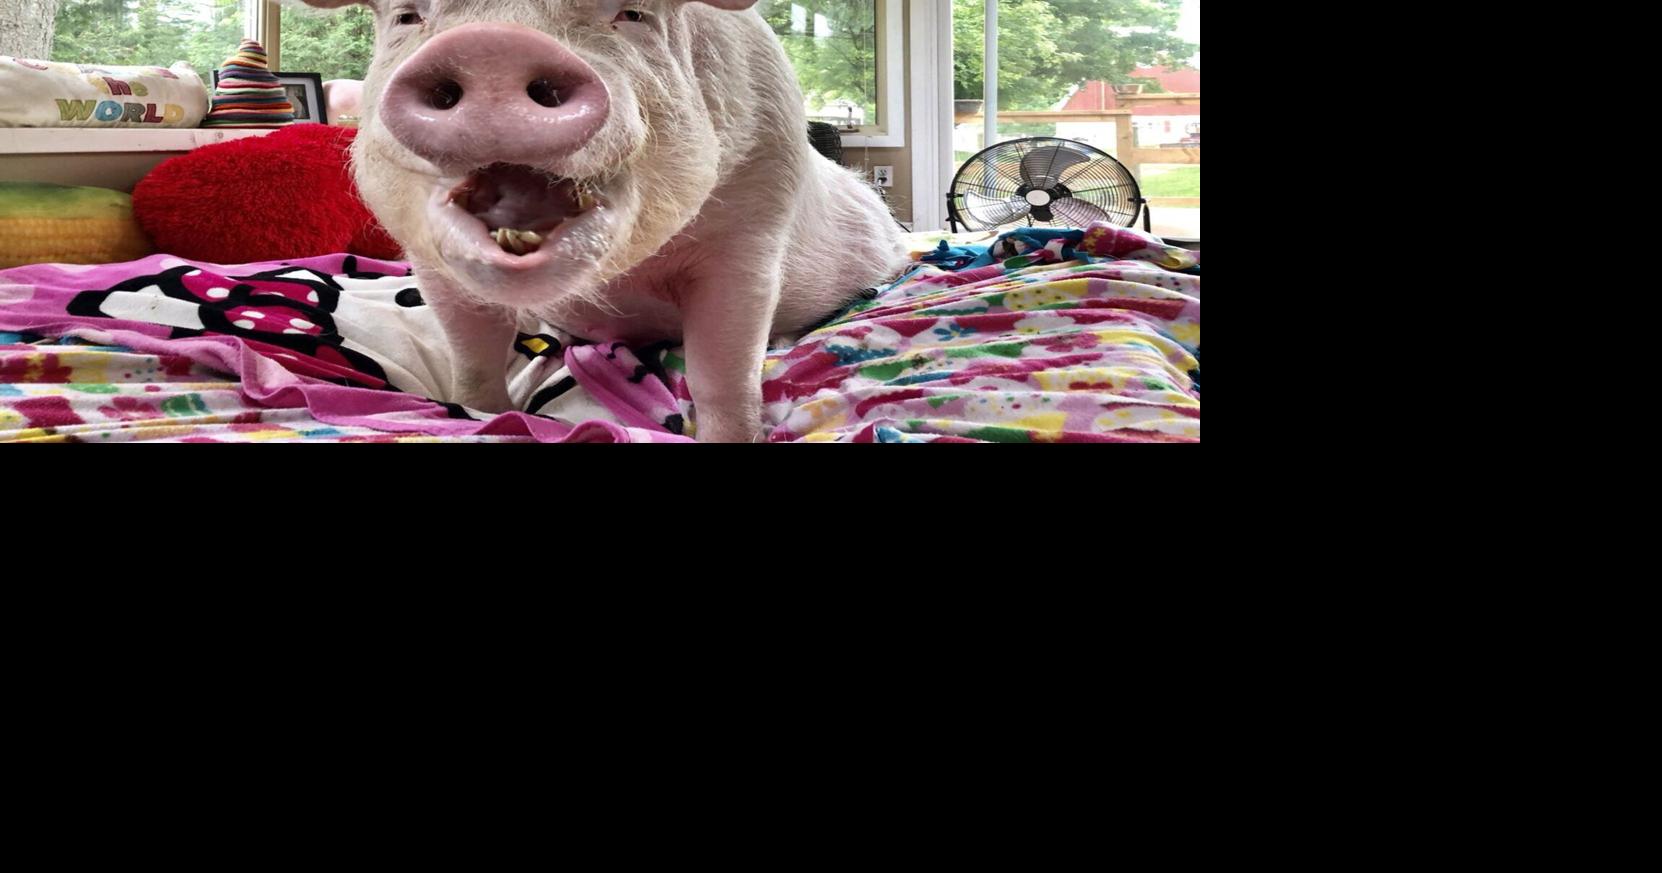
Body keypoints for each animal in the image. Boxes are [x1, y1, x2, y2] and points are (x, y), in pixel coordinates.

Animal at [293, 0, 908, 441]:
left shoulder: (753, 228)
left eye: (633, 14)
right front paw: (481, 415)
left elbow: (721, 371)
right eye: (407, 16)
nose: (492, 45)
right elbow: (471, 356)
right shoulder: (427, 257)